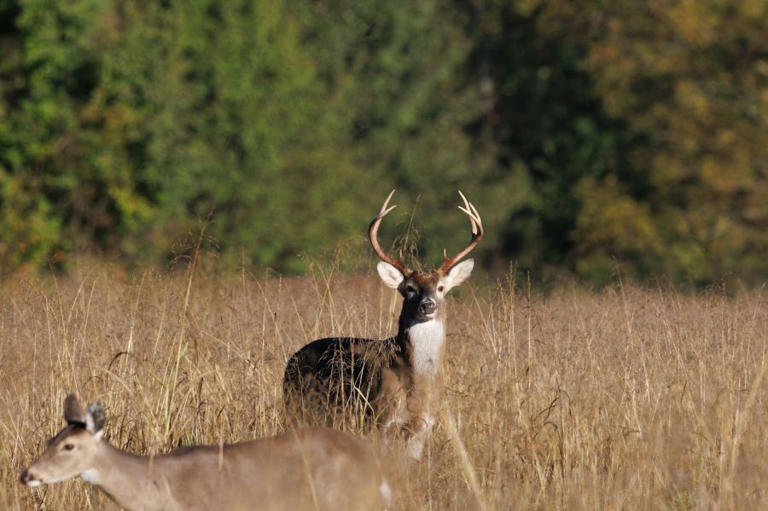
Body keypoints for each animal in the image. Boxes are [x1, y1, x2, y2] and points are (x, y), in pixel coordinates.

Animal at [283, 190, 483, 460]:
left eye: (441, 288)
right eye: (409, 289)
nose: (428, 305)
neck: (416, 383)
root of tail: (291, 359)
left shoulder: (424, 424)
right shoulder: (379, 417)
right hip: (296, 404)